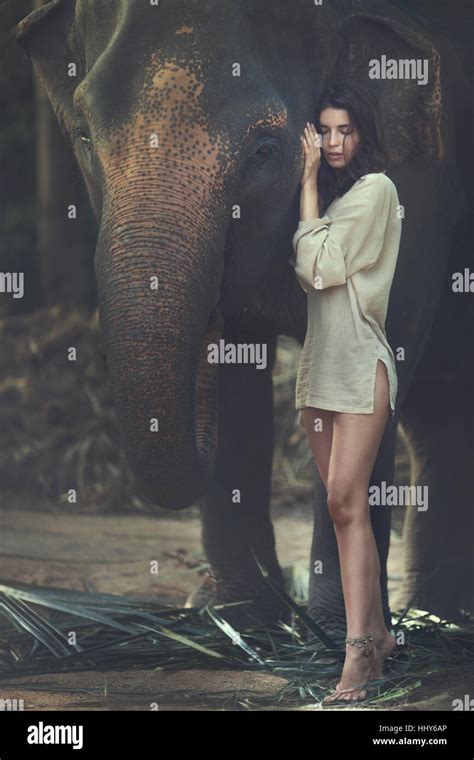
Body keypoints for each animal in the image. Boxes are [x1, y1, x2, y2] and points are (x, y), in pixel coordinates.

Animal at [17, 0, 473, 640]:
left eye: (264, 150)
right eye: (83, 134)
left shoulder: (421, 188)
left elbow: (383, 351)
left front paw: (331, 630)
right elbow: (238, 386)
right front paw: (238, 619)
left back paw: (432, 623)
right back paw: (436, 617)